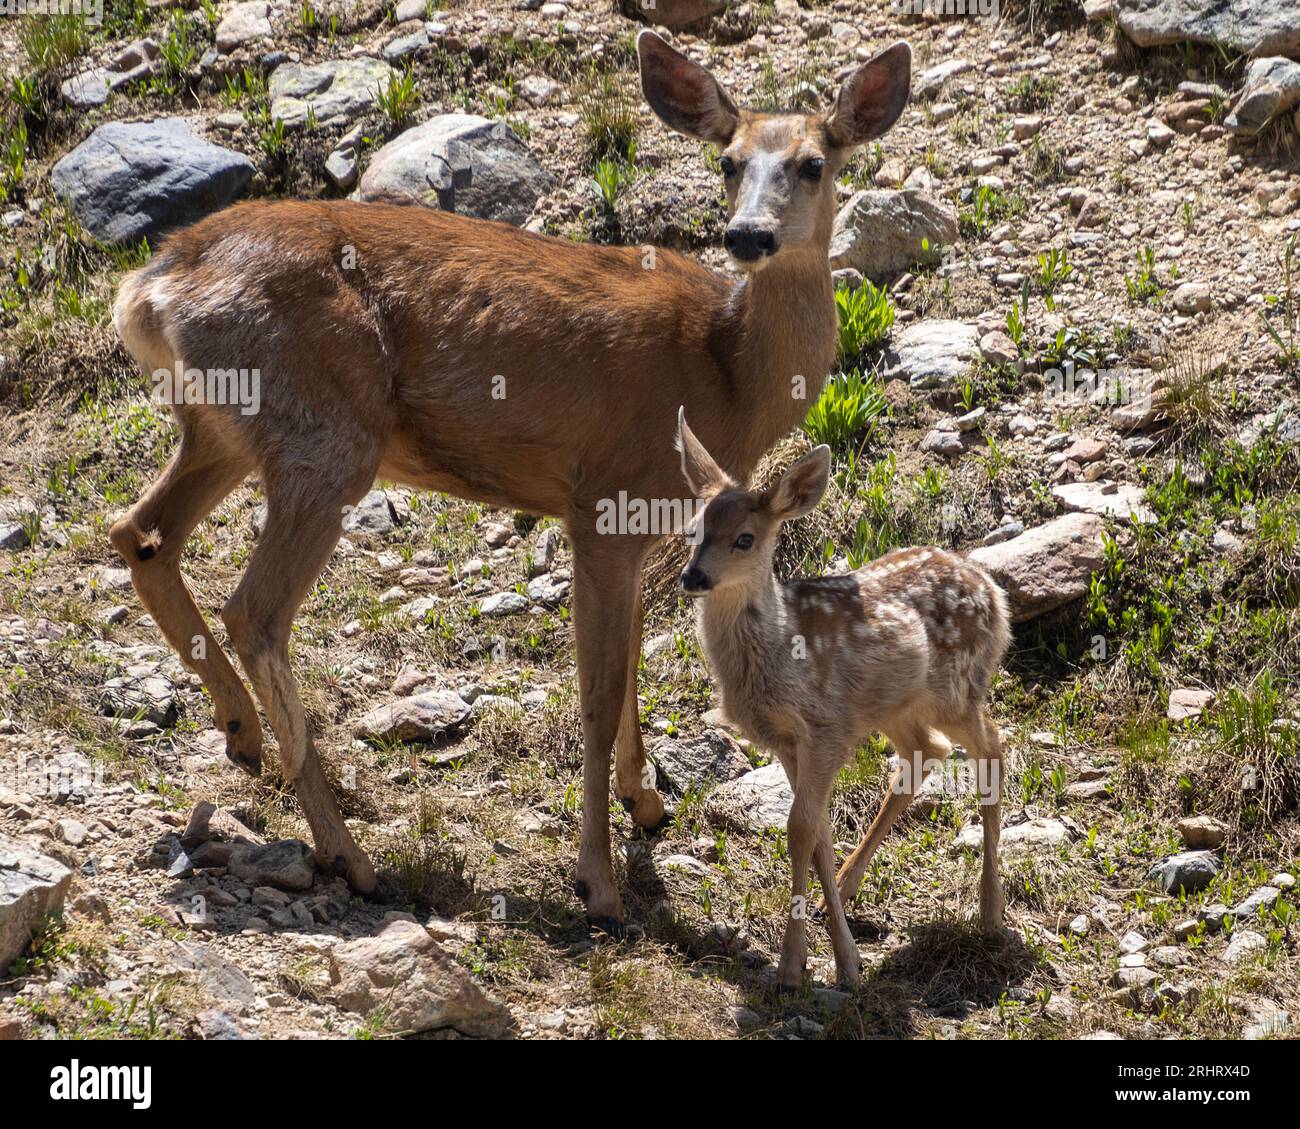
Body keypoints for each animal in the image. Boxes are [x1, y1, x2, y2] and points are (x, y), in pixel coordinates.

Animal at [106, 30, 912, 935]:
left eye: (812, 163)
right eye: (730, 161)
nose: (747, 236)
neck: (724, 372)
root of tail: (151, 285)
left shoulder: (643, 527)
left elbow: (630, 667)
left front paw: (646, 804)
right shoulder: (600, 504)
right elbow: (598, 692)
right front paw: (599, 882)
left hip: (223, 430)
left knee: (140, 530)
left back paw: (242, 734)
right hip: (325, 438)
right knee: (254, 608)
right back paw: (349, 854)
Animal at [674, 411, 1010, 987]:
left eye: (744, 538)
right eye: (693, 530)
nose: (692, 576)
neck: (777, 650)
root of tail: (995, 592)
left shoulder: (824, 729)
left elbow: (800, 831)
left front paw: (794, 966)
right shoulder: (789, 742)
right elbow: (818, 839)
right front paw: (840, 958)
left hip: (958, 689)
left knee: (993, 749)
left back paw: (990, 910)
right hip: (895, 707)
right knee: (926, 753)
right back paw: (855, 883)